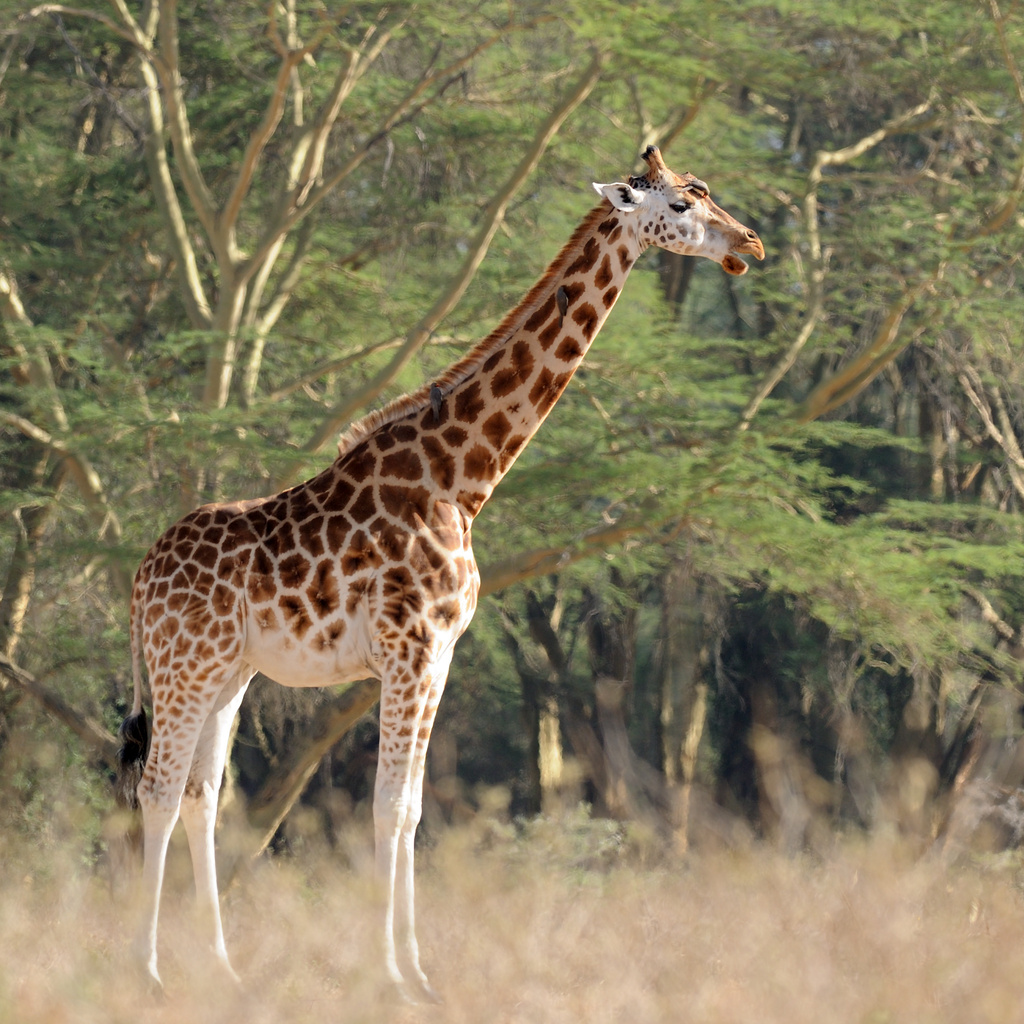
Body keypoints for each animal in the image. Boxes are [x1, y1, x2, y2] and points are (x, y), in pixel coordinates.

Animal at [117, 145, 763, 1003]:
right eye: (685, 205)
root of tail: (137, 580)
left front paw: (417, 971)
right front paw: (395, 974)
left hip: (229, 674)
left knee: (199, 797)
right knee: (156, 790)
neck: (462, 480)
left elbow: (414, 809)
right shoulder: (413, 650)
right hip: (183, 666)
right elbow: (391, 807)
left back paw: (221, 969)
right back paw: (149, 971)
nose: (751, 244)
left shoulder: (439, 654)